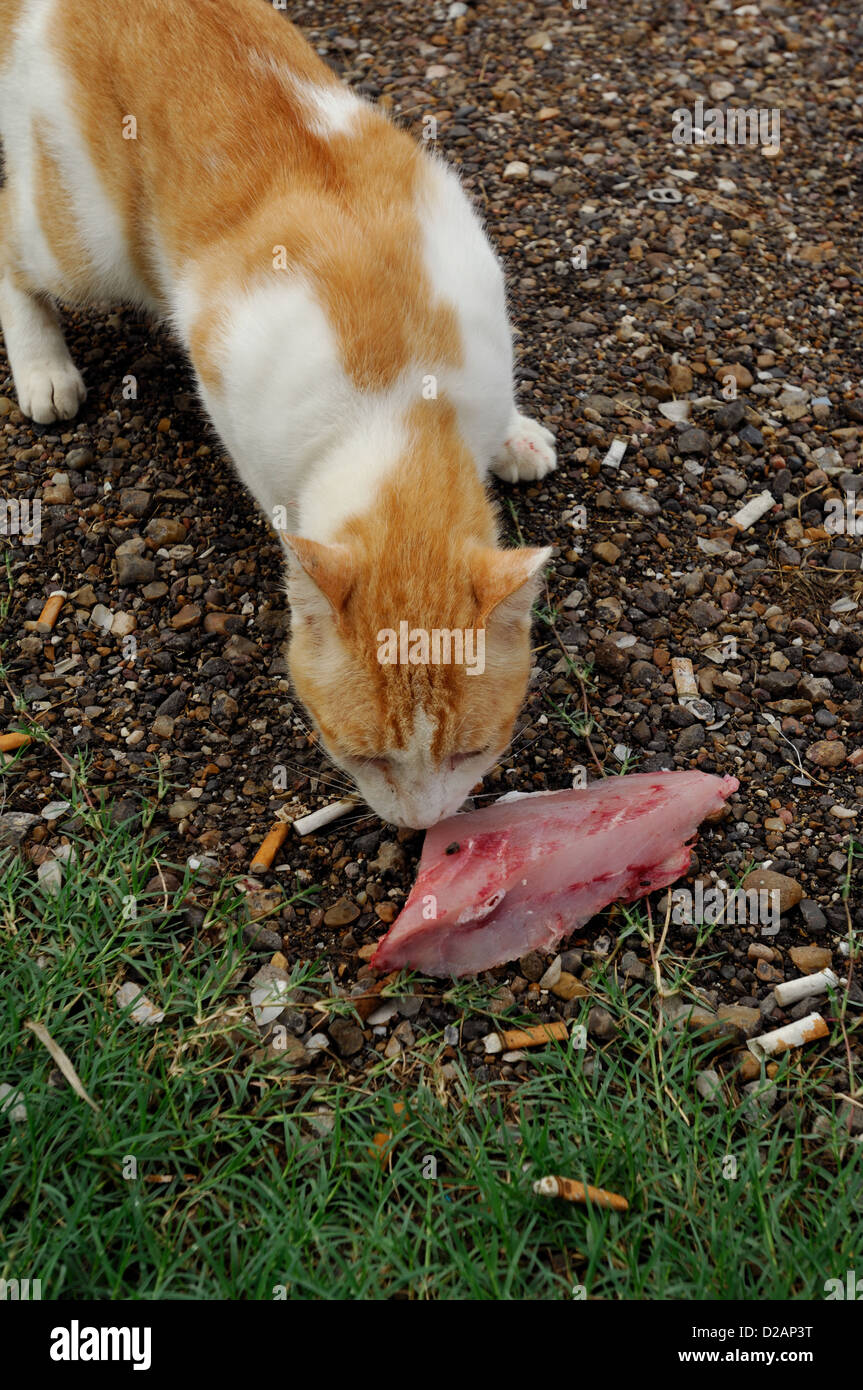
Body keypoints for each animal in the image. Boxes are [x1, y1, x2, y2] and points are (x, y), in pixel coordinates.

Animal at [0, 0, 558, 822]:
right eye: (365, 756)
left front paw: (513, 436)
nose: (422, 825)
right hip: (86, 242)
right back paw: (42, 365)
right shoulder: (235, 387)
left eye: (470, 752)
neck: (405, 412)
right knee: (13, 245)